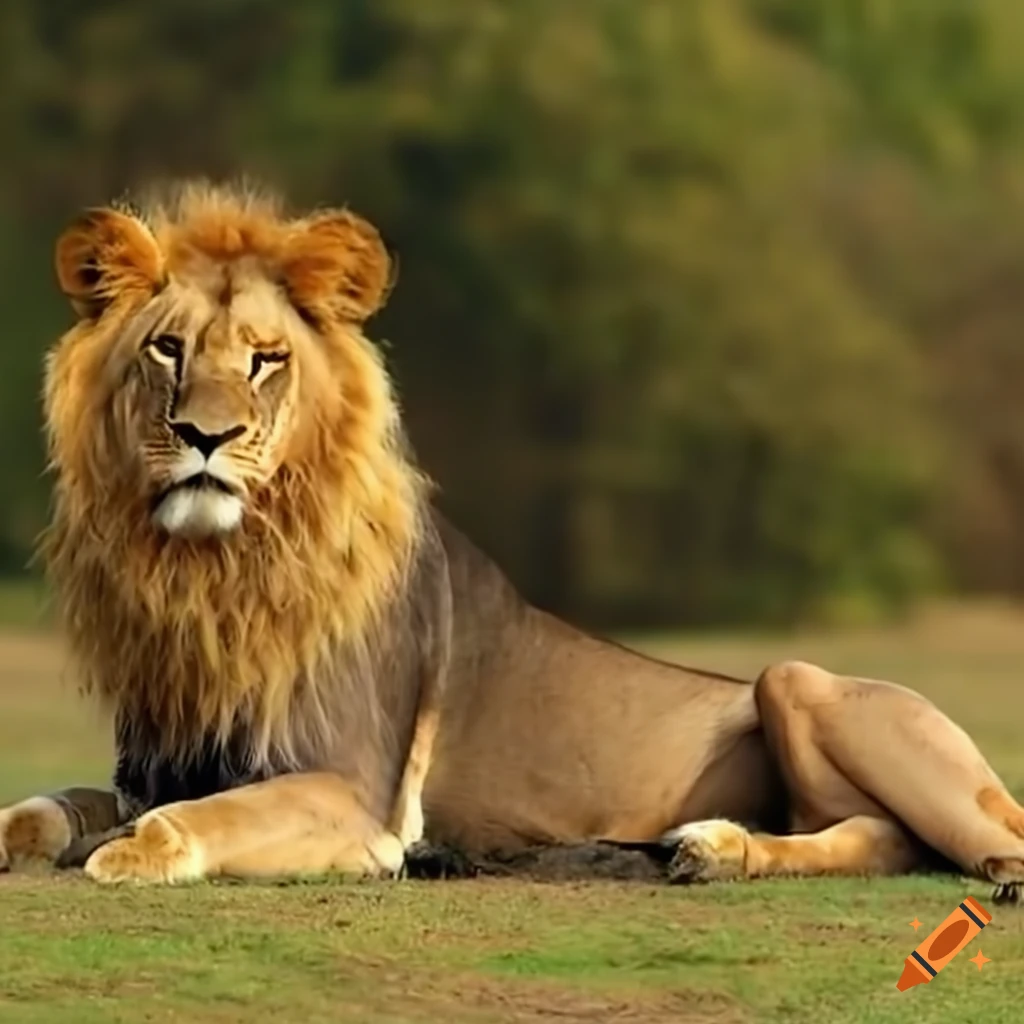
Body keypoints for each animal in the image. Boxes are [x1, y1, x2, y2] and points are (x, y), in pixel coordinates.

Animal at [2, 179, 1024, 903]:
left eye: (266, 358)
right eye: (167, 348)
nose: (204, 436)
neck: (210, 571)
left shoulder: (359, 797)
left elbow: (185, 822)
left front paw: (127, 855)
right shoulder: (149, 765)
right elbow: (41, 813)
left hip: (801, 681)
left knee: (959, 836)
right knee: (876, 837)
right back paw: (707, 850)